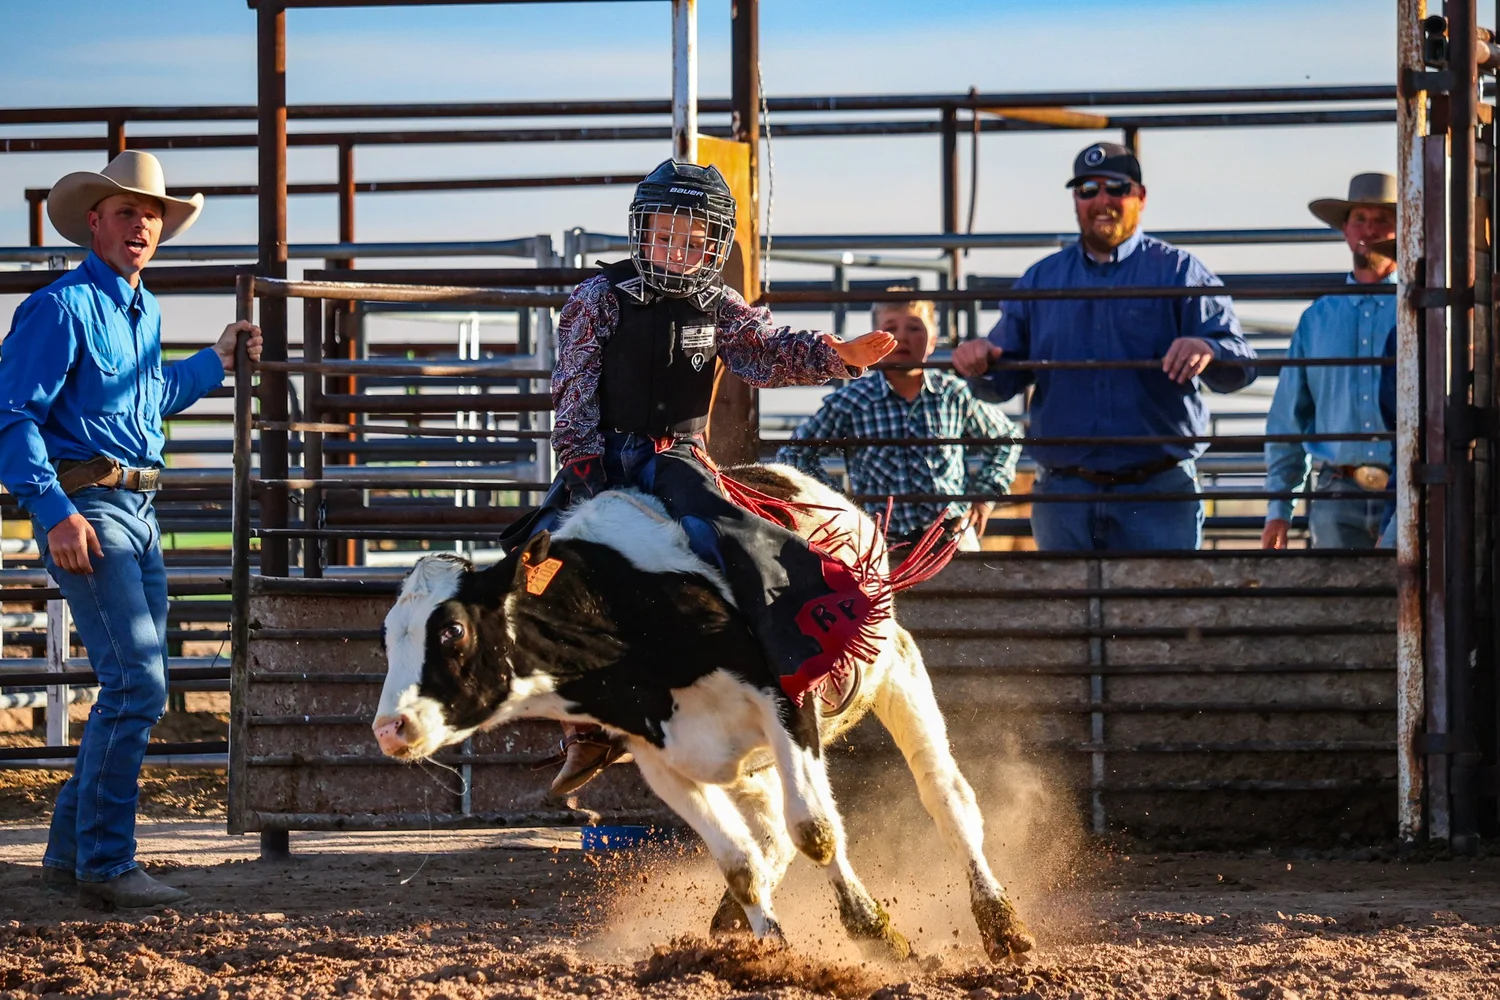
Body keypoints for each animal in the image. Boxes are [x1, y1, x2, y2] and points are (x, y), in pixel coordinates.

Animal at [371, 464, 1034, 964]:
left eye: (451, 630)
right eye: (388, 637)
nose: (388, 728)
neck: (630, 613)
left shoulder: (786, 707)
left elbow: (815, 831)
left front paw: (880, 937)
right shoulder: (662, 760)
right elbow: (741, 863)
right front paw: (776, 952)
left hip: (893, 665)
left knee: (945, 795)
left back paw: (1003, 927)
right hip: (749, 764)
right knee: (768, 834)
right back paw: (731, 920)